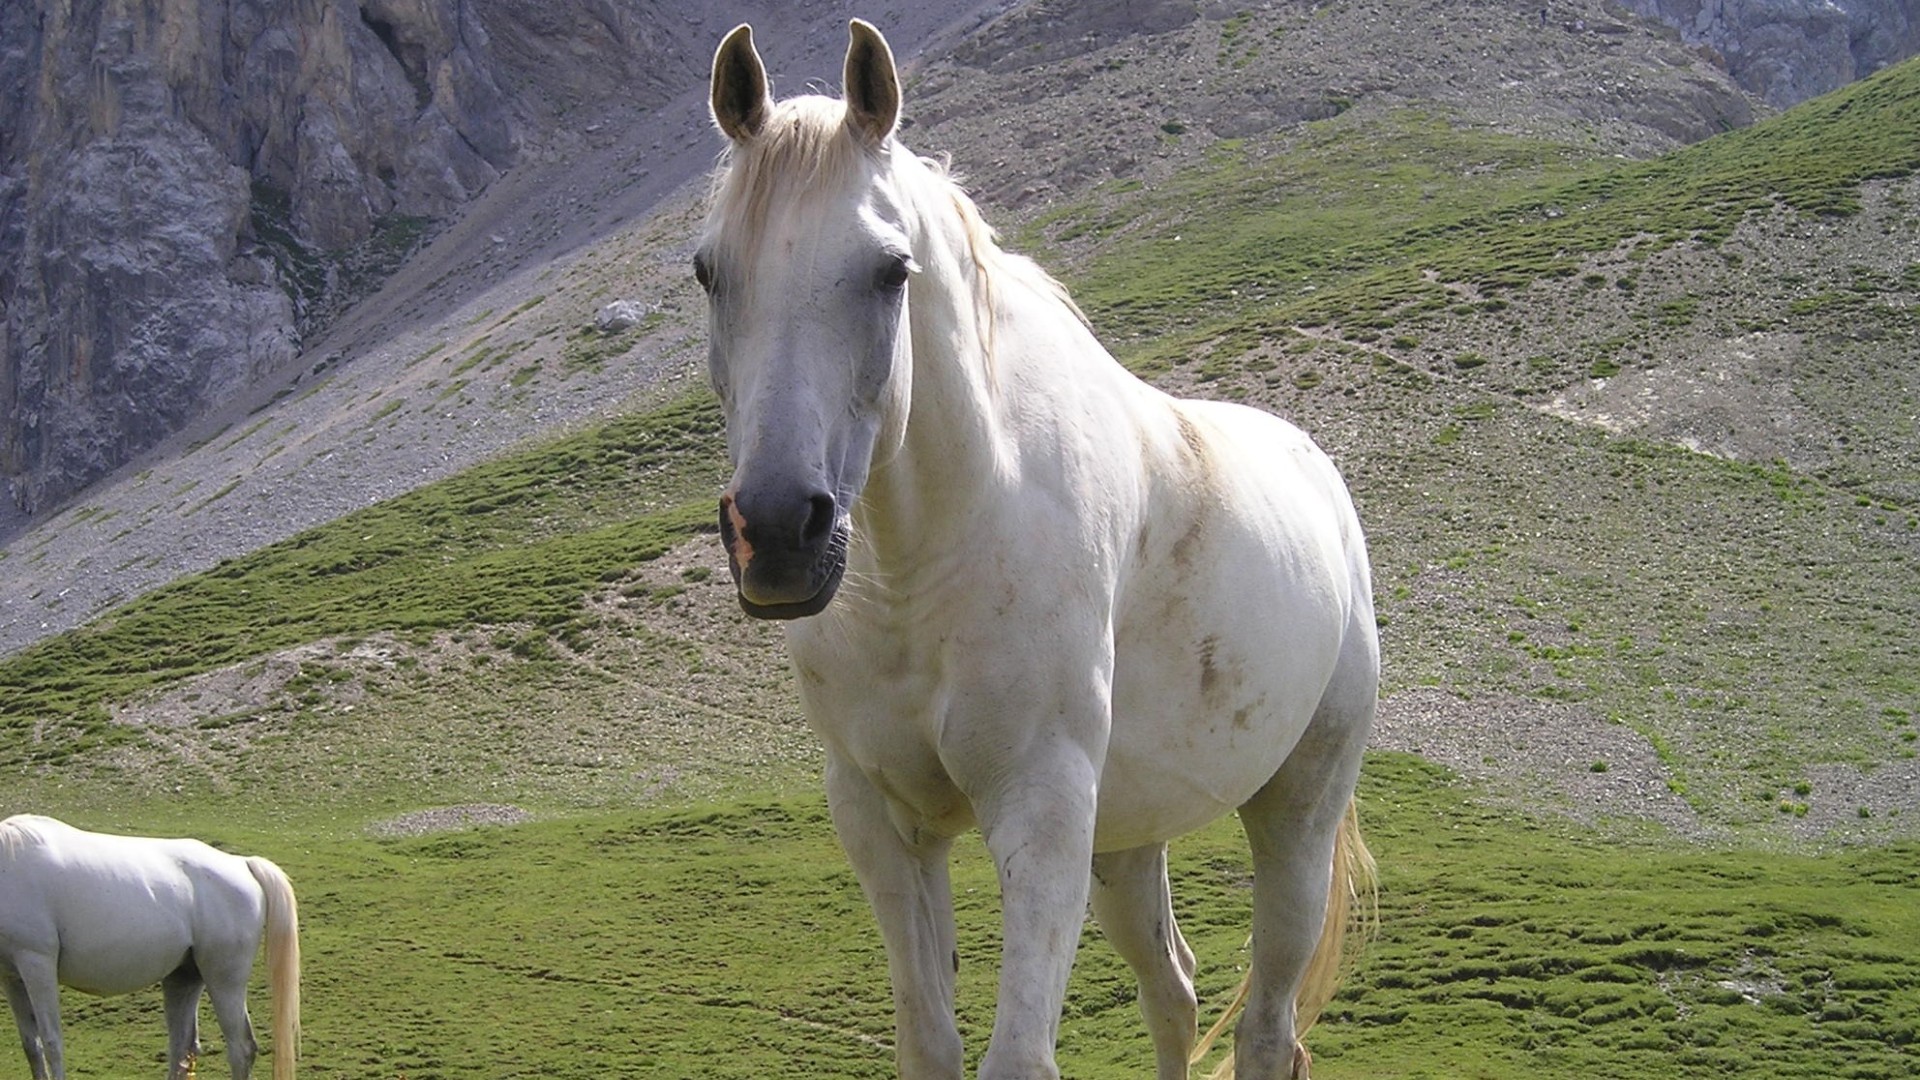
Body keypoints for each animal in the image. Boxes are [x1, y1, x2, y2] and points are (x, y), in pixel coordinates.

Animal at [0, 815, 300, 1080]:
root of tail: (242, 864)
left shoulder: (37, 965)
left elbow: (52, 1043)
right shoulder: (12, 977)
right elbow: (31, 1046)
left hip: (225, 981)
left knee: (241, 1048)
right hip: (184, 978)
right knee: (183, 1048)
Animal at [697, 21, 1378, 1080]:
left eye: (891, 270)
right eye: (708, 271)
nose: (775, 533)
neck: (917, 570)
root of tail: (1321, 477)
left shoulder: (1040, 808)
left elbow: (1018, 1056)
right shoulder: (881, 821)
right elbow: (929, 1043)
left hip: (1295, 814)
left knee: (1266, 1027)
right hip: (1127, 842)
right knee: (1174, 993)